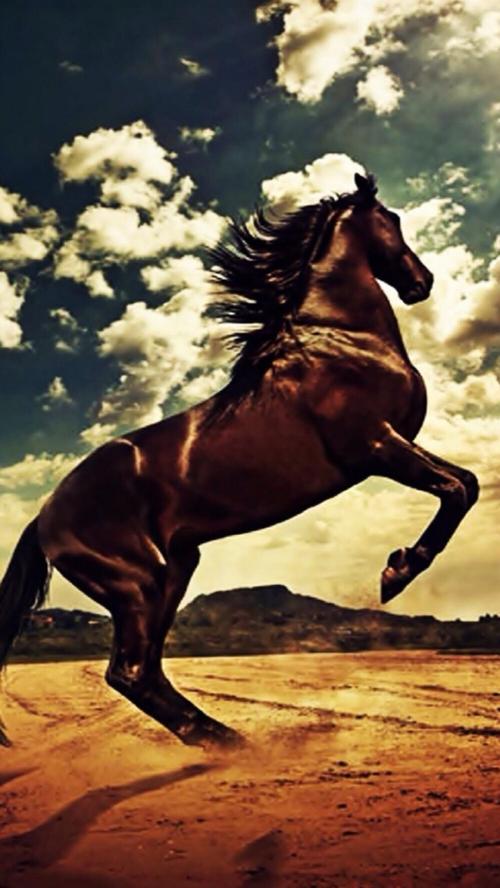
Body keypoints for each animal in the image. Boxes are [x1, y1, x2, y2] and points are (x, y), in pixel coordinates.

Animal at [0, 173, 478, 749]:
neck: (343, 340)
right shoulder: (376, 446)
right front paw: (397, 571)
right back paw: (229, 744)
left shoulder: (389, 447)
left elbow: (468, 483)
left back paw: (225, 739)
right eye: (394, 219)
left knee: (146, 669)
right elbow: (457, 489)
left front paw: (399, 564)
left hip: (175, 568)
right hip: (138, 582)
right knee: (129, 671)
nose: (421, 283)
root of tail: (44, 516)